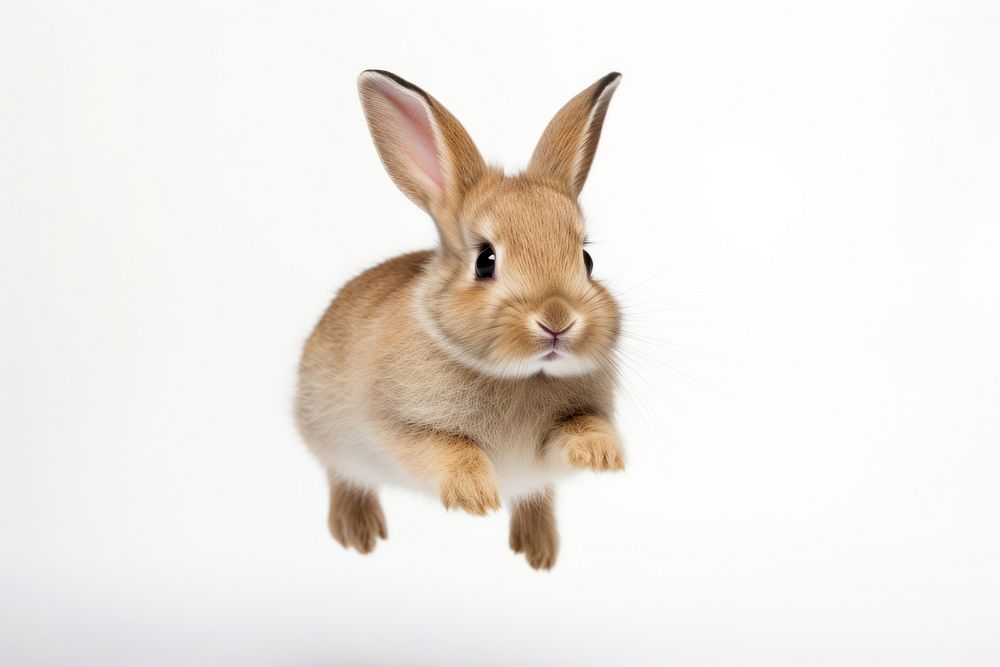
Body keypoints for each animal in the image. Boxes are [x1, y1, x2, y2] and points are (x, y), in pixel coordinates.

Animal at [295, 69, 624, 570]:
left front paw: (605, 456)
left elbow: (579, 429)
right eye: (485, 261)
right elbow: (448, 450)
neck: (521, 375)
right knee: (344, 480)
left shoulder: (553, 441)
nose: (557, 320)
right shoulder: (397, 428)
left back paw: (538, 552)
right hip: (332, 437)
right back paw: (358, 536)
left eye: (586, 260)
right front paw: (477, 497)